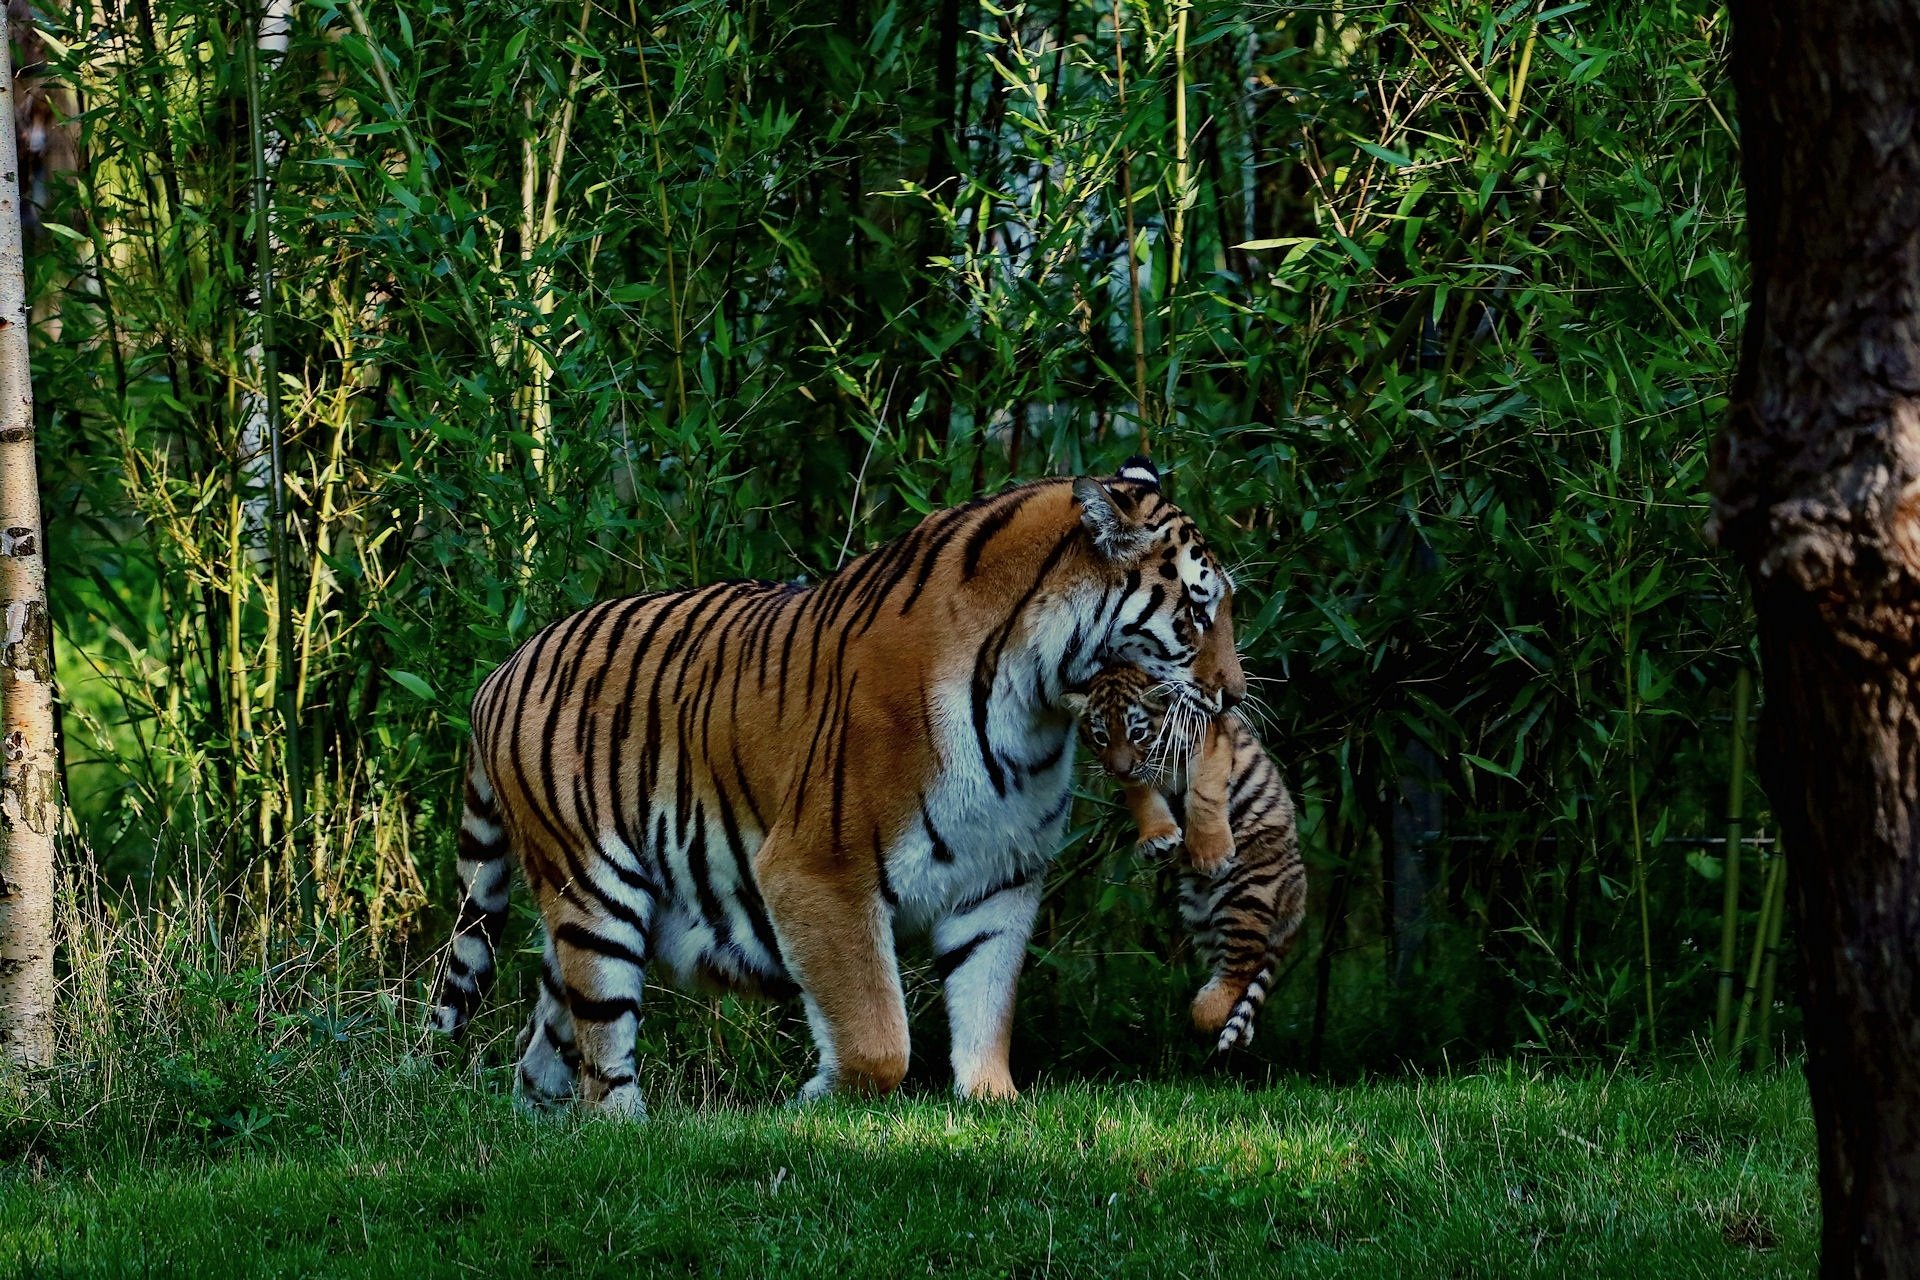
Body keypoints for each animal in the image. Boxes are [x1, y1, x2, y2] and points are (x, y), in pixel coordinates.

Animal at [428, 458, 1245, 1115]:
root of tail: (500, 671)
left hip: (584, 920)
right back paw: (630, 1128)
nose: (1234, 695)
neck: (1035, 703)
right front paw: (818, 1097)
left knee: (542, 1048)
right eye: (1198, 609)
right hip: (595, 891)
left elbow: (986, 1004)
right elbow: (877, 1036)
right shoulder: (819, 872)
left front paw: (992, 1103)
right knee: (603, 1048)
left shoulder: (1000, 878)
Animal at [1065, 662, 1305, 1054]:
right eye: (1100, 737)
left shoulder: (1209, 745)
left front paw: (1210, 853)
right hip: (1199, 912)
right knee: (1238, 968)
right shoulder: (1140, 776)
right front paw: (1158, 838)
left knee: (1243, 964)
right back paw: (1235, 1027)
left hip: (1247, 891)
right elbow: (1144, 800)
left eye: (1136, 733)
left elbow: (1202, 796)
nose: (1118, 769)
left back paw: (1206, 1013)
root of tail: (1298, 902)